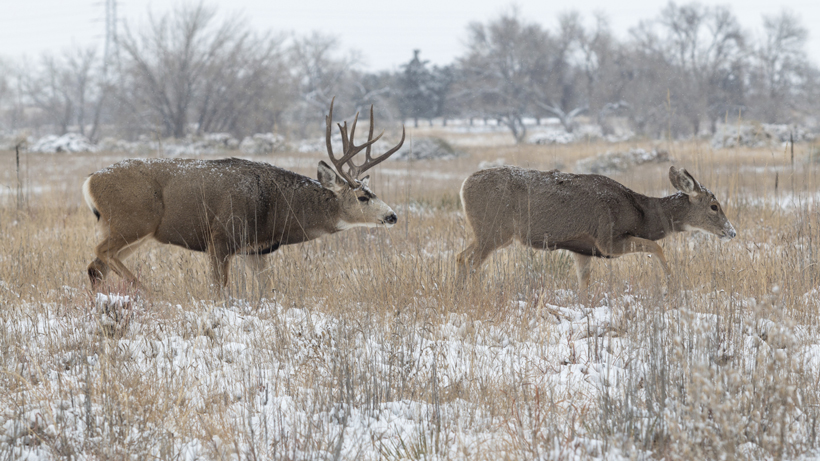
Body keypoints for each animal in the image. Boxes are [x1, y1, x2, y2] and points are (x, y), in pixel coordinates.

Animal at [83, 99, 405, 291]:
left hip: (131, 230)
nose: (392, 216)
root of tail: (90, 181)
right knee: (101, 254)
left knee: (95, 266)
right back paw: (147, 289)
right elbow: (219, 289)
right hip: (133, 220)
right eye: (363, 197)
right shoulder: (222, 237)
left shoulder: (255, 250)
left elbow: (266, 289)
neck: (275, 209)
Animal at [456, 166, 736, 292]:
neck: (640, 214)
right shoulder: (608, 238)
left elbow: (584, 281)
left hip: (489, 233)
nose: (732, 232)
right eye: (714, 206)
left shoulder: (583, 249)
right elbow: (656, 246)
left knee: (461, 256)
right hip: (493, 230)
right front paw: (671, 281)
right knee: (469, 261)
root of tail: (464, 184)